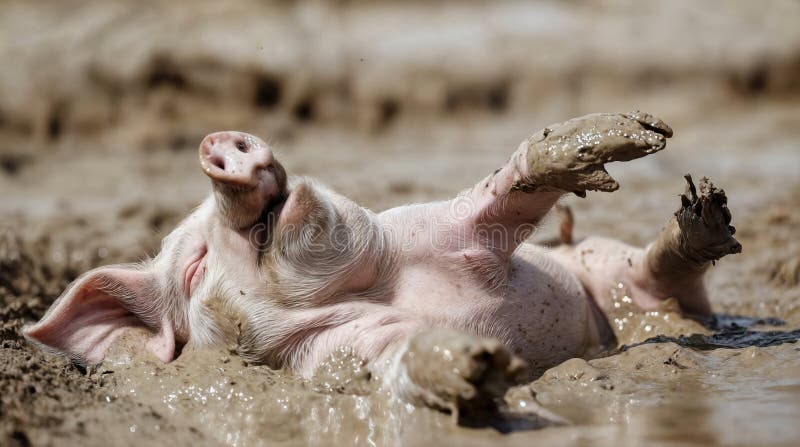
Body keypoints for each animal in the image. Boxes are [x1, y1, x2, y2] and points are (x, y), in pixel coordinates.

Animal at [24, 112, 741, 414]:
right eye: (195, 268)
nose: (215, 146)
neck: (372, 293)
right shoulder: (334, 356)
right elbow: (397, 366)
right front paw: (474, 368)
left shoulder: (436, 229)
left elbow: (500, 201)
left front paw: (621, 136)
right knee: (660, 288)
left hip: (598, 259)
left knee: (654, 274)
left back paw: (706, 215)